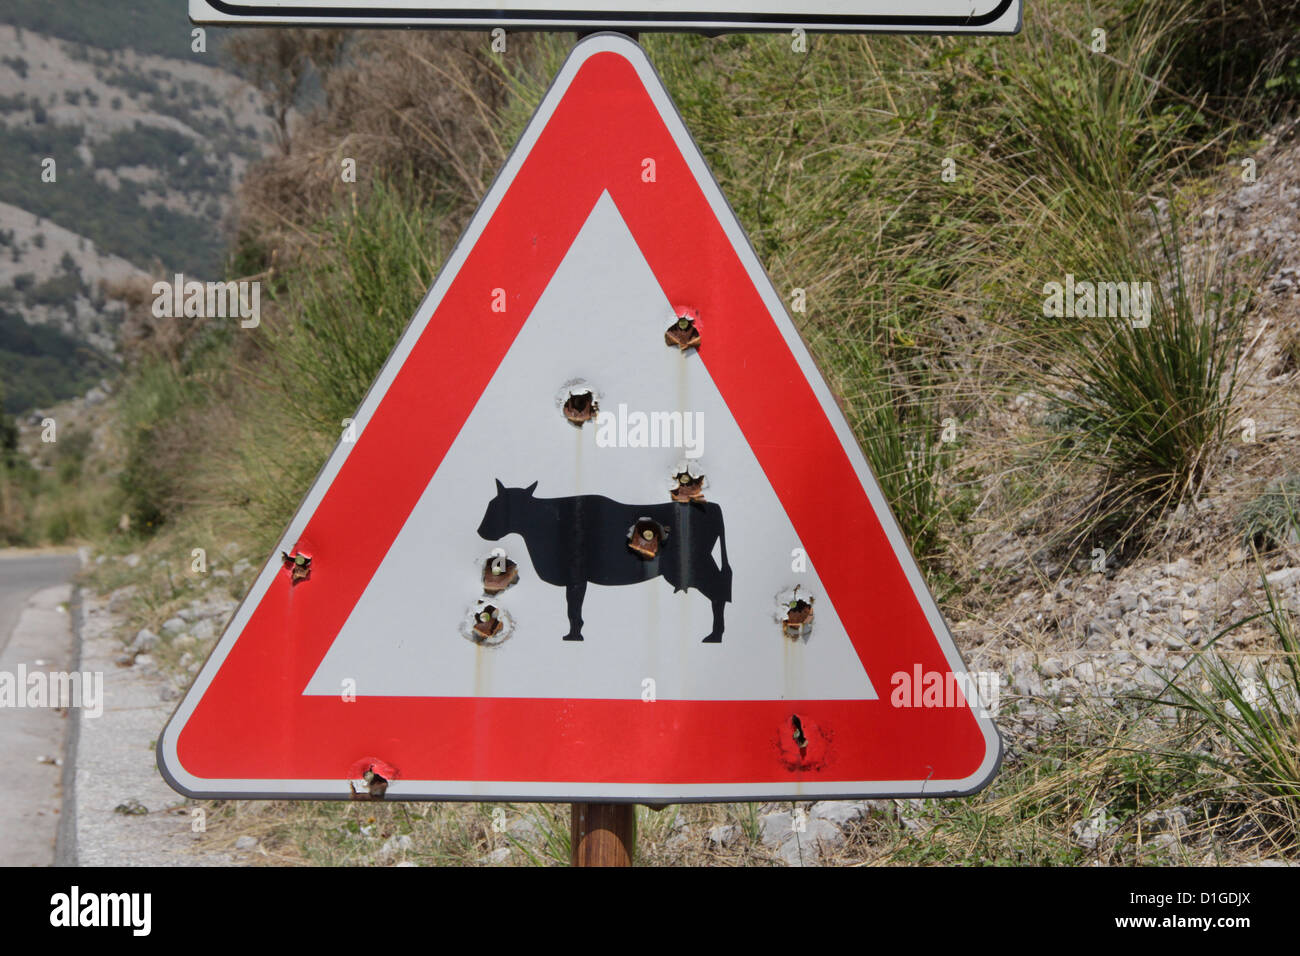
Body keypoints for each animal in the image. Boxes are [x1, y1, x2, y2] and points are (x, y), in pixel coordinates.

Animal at [476, 480, 732, 643]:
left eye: (495, 505)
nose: (480, 531)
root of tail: (713, 508)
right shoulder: (576, 580)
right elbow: (573, 606)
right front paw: (576, 634)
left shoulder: (575, 577)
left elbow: (572, 607)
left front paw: (573, 635)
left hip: (696, 562)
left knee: (719, 590)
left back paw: (715, 635)